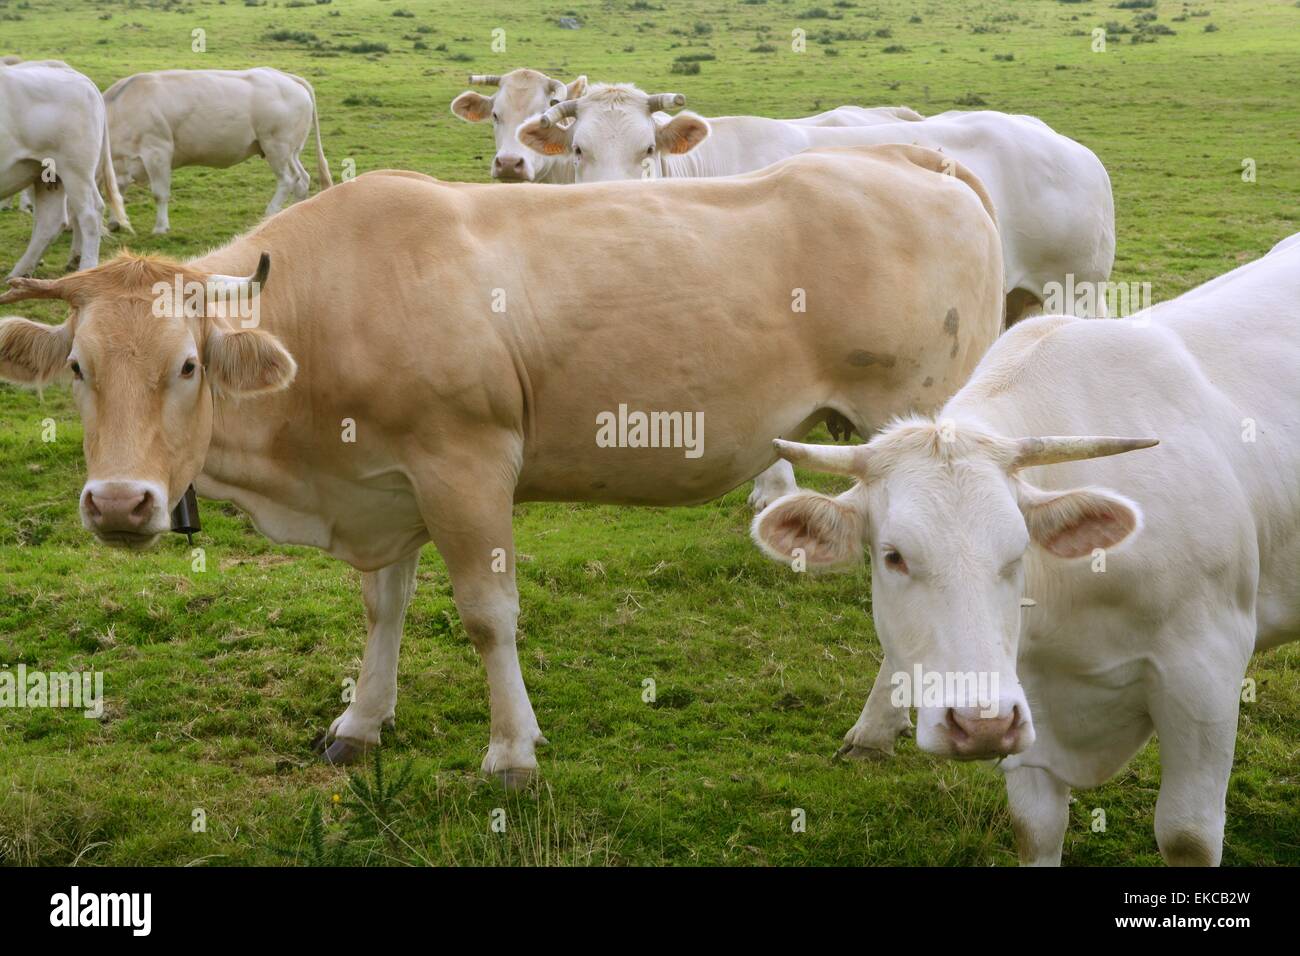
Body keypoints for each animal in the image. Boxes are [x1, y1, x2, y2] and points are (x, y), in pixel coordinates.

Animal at [0, 59, 131, 278]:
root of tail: (78, 77)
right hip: (47, 174)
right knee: (50, 221)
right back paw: (19, 274)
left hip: (75, 170)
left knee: (90, 213)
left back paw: (85, 269)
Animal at [0, 146, 1002, 786]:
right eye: (79, 368)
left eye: (187, 366)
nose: (120, 504)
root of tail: (911, 159)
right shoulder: (386, 483)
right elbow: (384, 606)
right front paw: (362, 722)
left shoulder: (465, 464)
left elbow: (488, 615)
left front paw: (512, 752)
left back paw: (876, 729)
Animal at [102, 68, 333, 235]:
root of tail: (286, 77)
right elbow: (116, 190)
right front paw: (114, 222)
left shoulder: (157, 151)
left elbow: (159, 193)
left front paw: (160, 227)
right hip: (291, 151)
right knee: (302, 179)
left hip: (276, 146)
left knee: (288, 180)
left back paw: (269, 214)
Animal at [751, 236, 1300, 865]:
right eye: (893, 556)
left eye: (1018, 552)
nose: (979, 724)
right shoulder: (1026, 697)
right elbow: (1034, 826)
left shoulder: (1206, 672)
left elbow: (1187, 833)